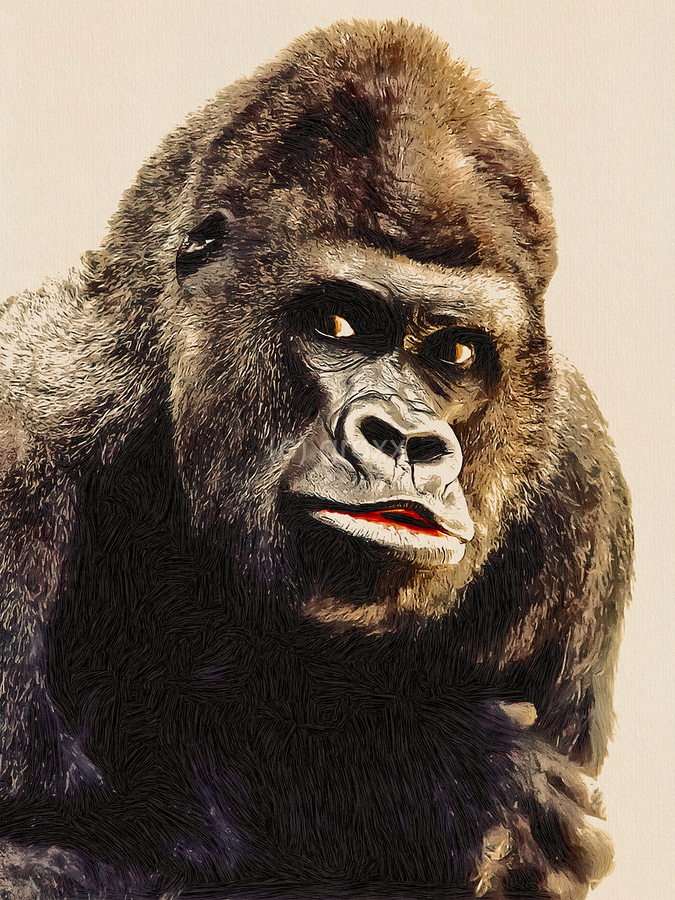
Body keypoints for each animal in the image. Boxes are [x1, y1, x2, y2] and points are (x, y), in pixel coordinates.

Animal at [0, 19, 631, 900]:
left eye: (456, 352)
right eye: (337, 324)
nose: (404, 440)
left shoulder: (579, 478)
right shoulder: (18, 435)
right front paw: (415, 776)